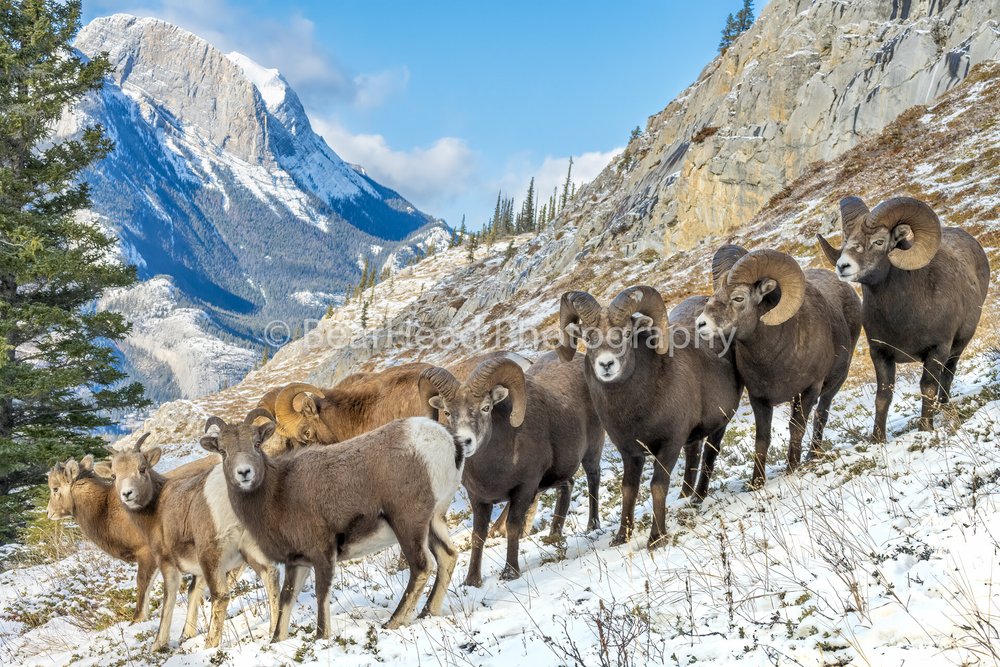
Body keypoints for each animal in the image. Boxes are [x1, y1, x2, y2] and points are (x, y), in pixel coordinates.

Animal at [202, 411, 471, 641]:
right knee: (448, 556)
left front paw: (321, 637)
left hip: (408, 524)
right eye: (223, 451)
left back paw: (392, 622)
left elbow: (322, 596)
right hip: (434, 522)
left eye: (257, 444)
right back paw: (428, 613)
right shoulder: (296, 562)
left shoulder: (322, 553)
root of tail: (448, 442)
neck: (278, 493)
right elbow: (286, 600)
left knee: (422, 567)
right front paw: (277, 641)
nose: (244, 473)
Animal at [419, 353, 605, 585]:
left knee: (593, 479)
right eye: (446, 412)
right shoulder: (479, 500)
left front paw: (510, 573)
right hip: (559, 473)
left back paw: (592, 527)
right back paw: (553, 537)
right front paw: (472, 581)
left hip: (592, 450)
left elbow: (513, 527)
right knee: (567, 486)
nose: (465, 441)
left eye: (486, 407)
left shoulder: (523, 491)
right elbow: (478, 535)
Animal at [559, 286, 742, 548]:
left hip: (720, 423)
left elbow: (657, 486)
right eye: (587, 337)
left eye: (626, 333)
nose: (606, 364)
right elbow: (628, 490)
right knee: (693, 453)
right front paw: (621, 537)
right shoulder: (630, 452)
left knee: (709, 455)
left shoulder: (669, 445)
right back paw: (685, 495)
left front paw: (657, 538)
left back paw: (698, 497)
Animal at [817, 196, 989, 440]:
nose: (843, 266)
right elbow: (883, 396)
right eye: (847, 240)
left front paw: (925, 428)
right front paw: (877, 439)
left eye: (879, 242)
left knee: (948, 374)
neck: (902, 317)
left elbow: (927, 387)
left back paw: (944, 408)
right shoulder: (880, 354)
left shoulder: (937, 349)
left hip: (958, 346)